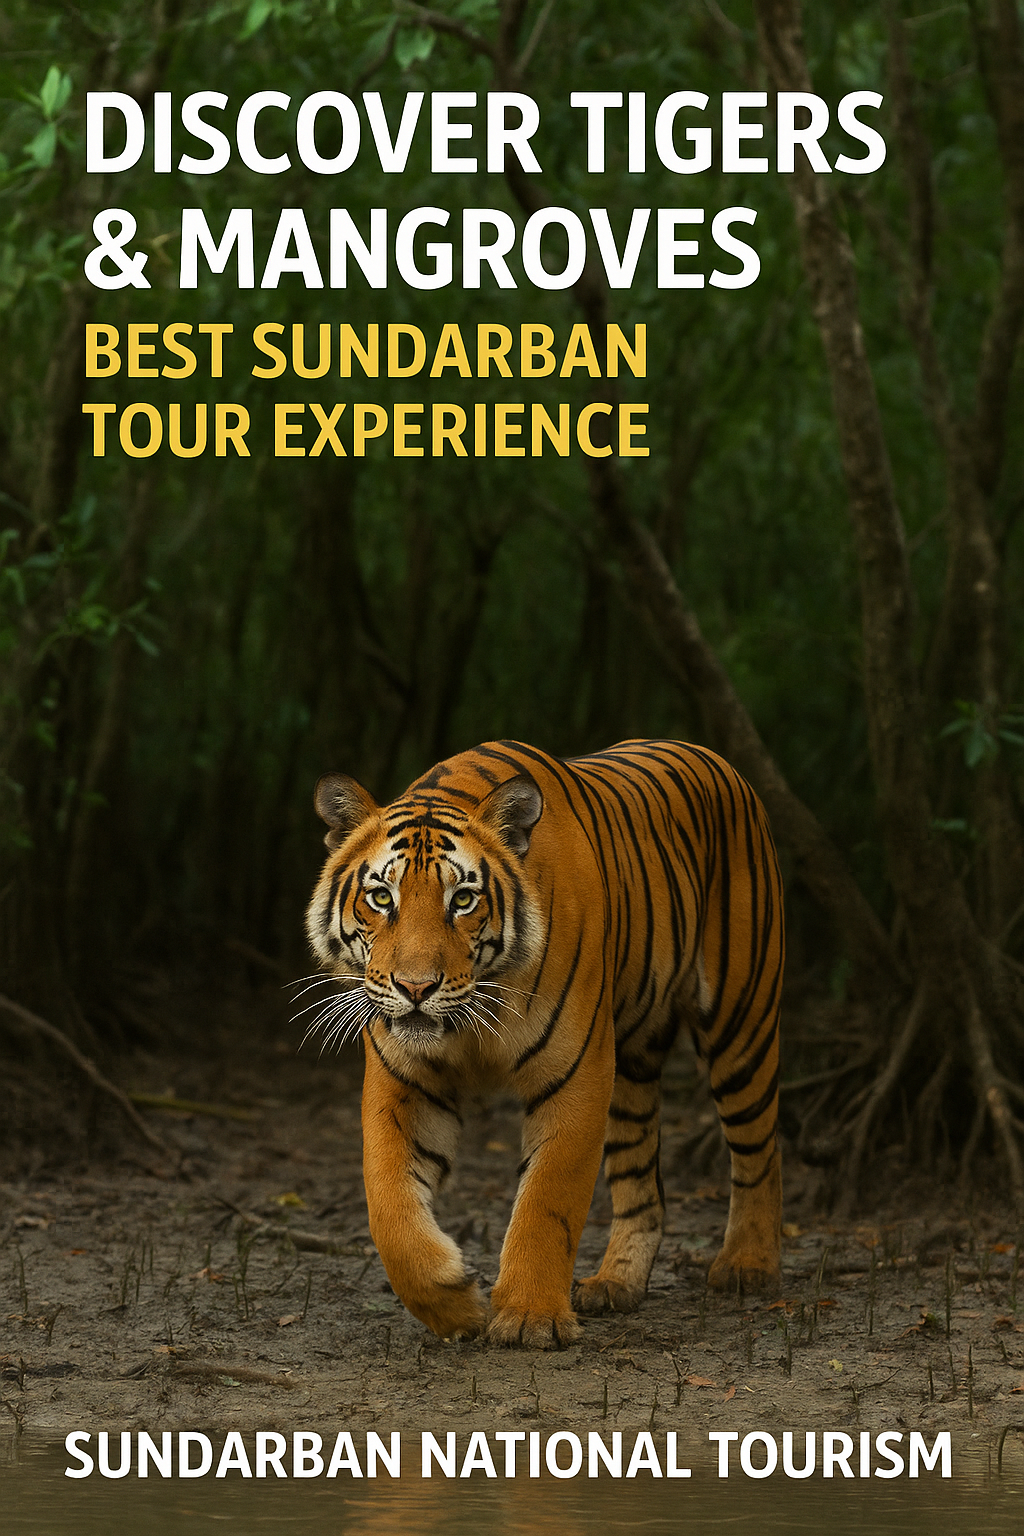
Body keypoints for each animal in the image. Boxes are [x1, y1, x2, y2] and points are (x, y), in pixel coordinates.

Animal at [304, 738, 783, 1348]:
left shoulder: (575, 1074)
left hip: (741, 1023)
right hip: (631, 1066)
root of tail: (712, 755)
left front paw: (531, 1317)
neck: (471, 1020)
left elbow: (547, 1199)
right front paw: (454, 1303)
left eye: (463, 899)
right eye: (381, 897)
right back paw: (615, 1284)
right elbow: (388, 1205)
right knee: (642, 1181)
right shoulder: (405, 1081)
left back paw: (748, 1265)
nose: (416, 988)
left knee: (758, 1151)